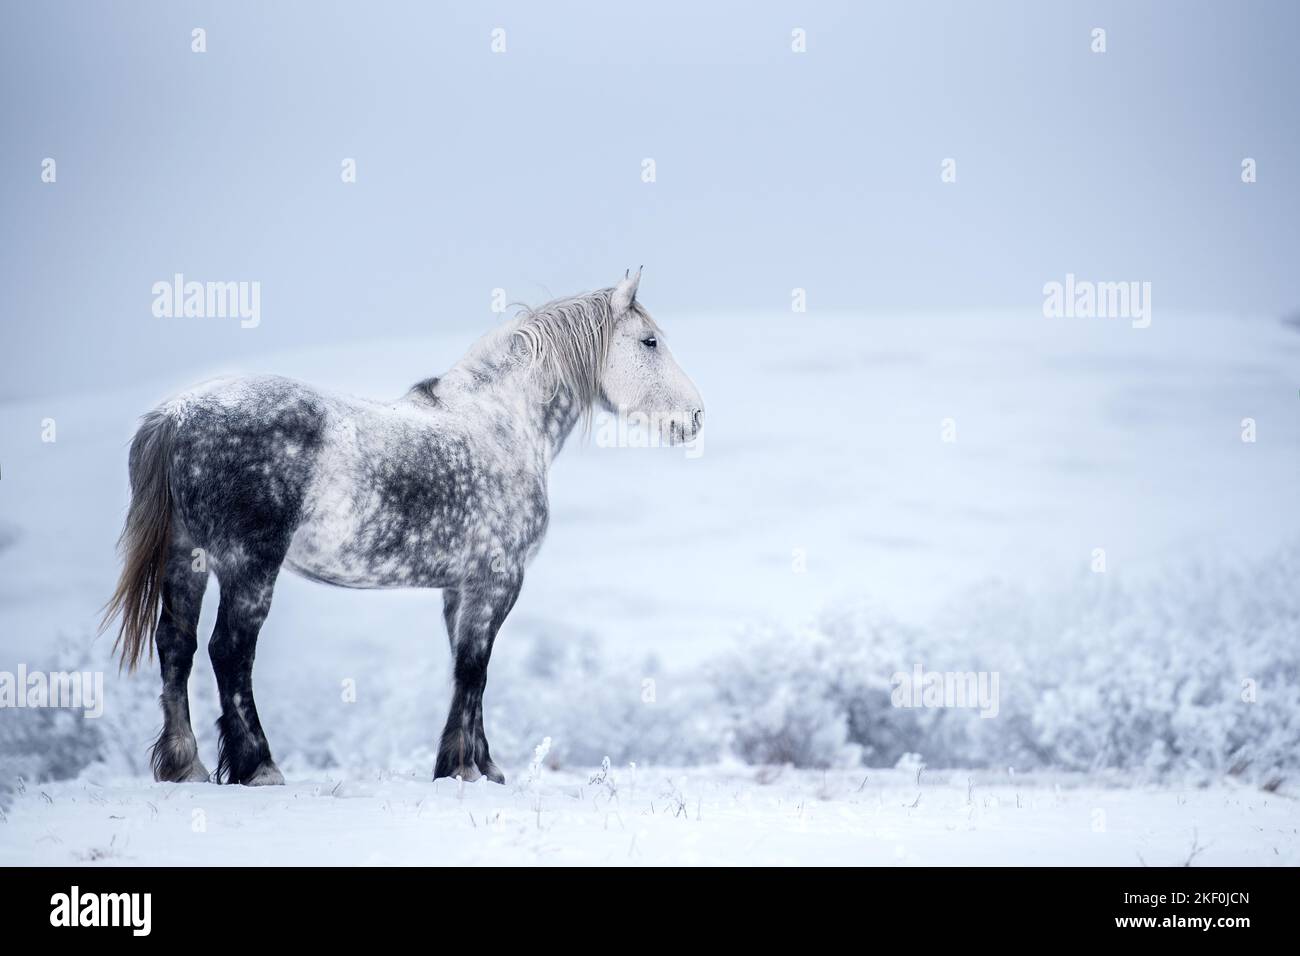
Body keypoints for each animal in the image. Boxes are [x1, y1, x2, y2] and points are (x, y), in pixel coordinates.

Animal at [101, 270, 704, 785]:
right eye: (649, 341)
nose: (695, 417)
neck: (501, 424)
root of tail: (175, 416)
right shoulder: (497, 581)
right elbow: (475, 669)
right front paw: (459, 768)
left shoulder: (459, 588)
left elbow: (466, 669)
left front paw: (482, 767)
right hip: (250, 567)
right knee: (229, 652)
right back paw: (260, 767)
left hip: (189, 559)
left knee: (175, 647)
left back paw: (186, 767)